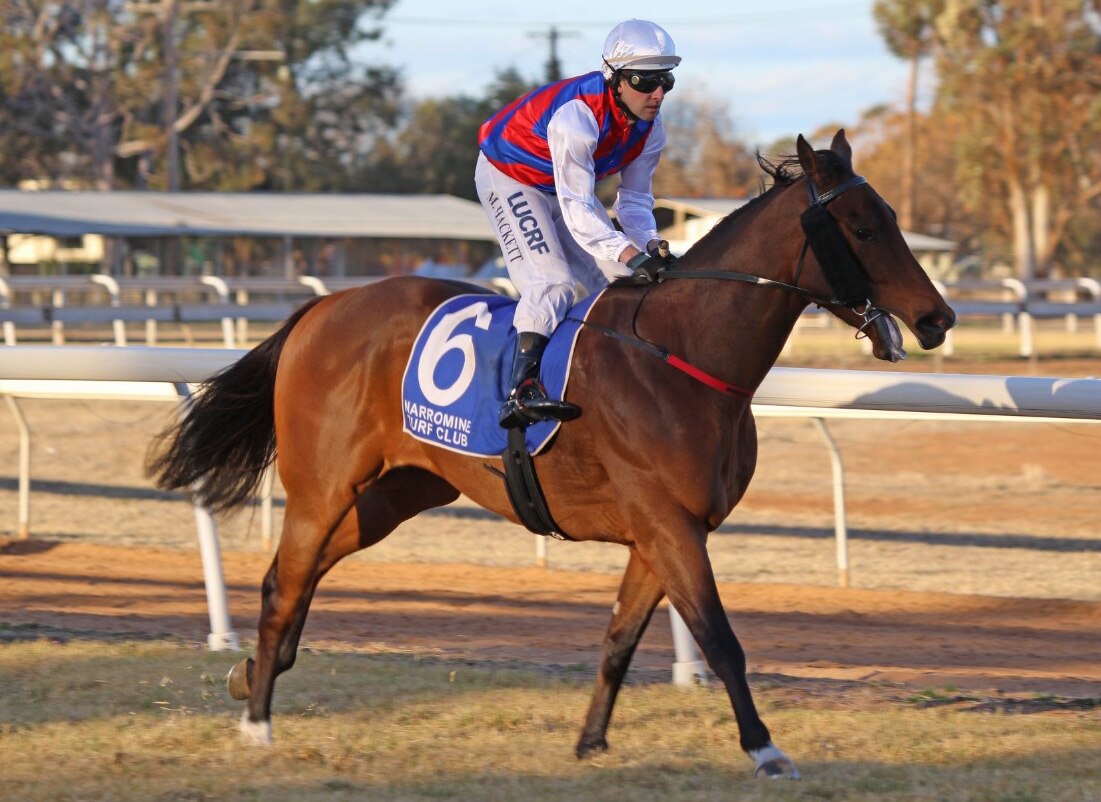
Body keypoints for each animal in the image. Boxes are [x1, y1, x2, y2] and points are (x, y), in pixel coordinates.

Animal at [149, 130, 955, 779]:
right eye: (862, 226)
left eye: (890, 218)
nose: (937, 318)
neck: (684, 354)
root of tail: (321, 307)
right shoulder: (670, 525)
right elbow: (720, 640)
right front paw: (764, 749)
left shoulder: (660, 533)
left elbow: (619, 639)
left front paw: (590, 744)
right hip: (323, 487)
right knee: (284, 586)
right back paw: (258, 723)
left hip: (394, 495)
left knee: (297, 578)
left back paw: (252, 674)